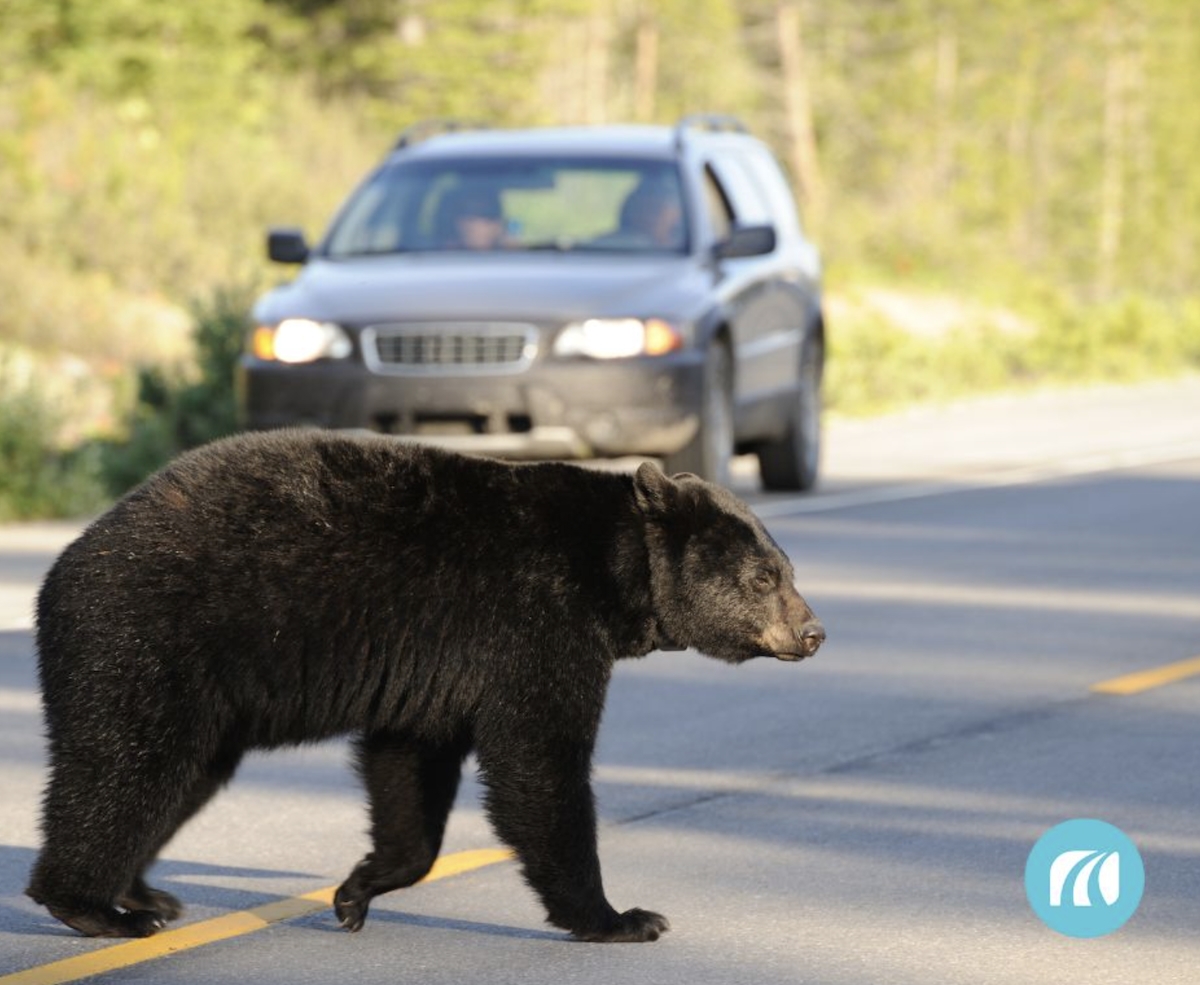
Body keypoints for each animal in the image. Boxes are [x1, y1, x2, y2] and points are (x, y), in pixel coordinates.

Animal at [26, 430, 824, 942]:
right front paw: (620, 916)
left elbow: (410, 766)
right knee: (126, 767)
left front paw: (356, 891)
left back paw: (144, 891)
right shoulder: (534, 620)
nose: (814, 631)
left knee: (178, 776)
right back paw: (95, 906)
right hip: (147, 643)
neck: (611, 568)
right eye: (766, 577)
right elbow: (539, 760)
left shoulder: (438, 665)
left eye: (786, 568)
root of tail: (59, 572)